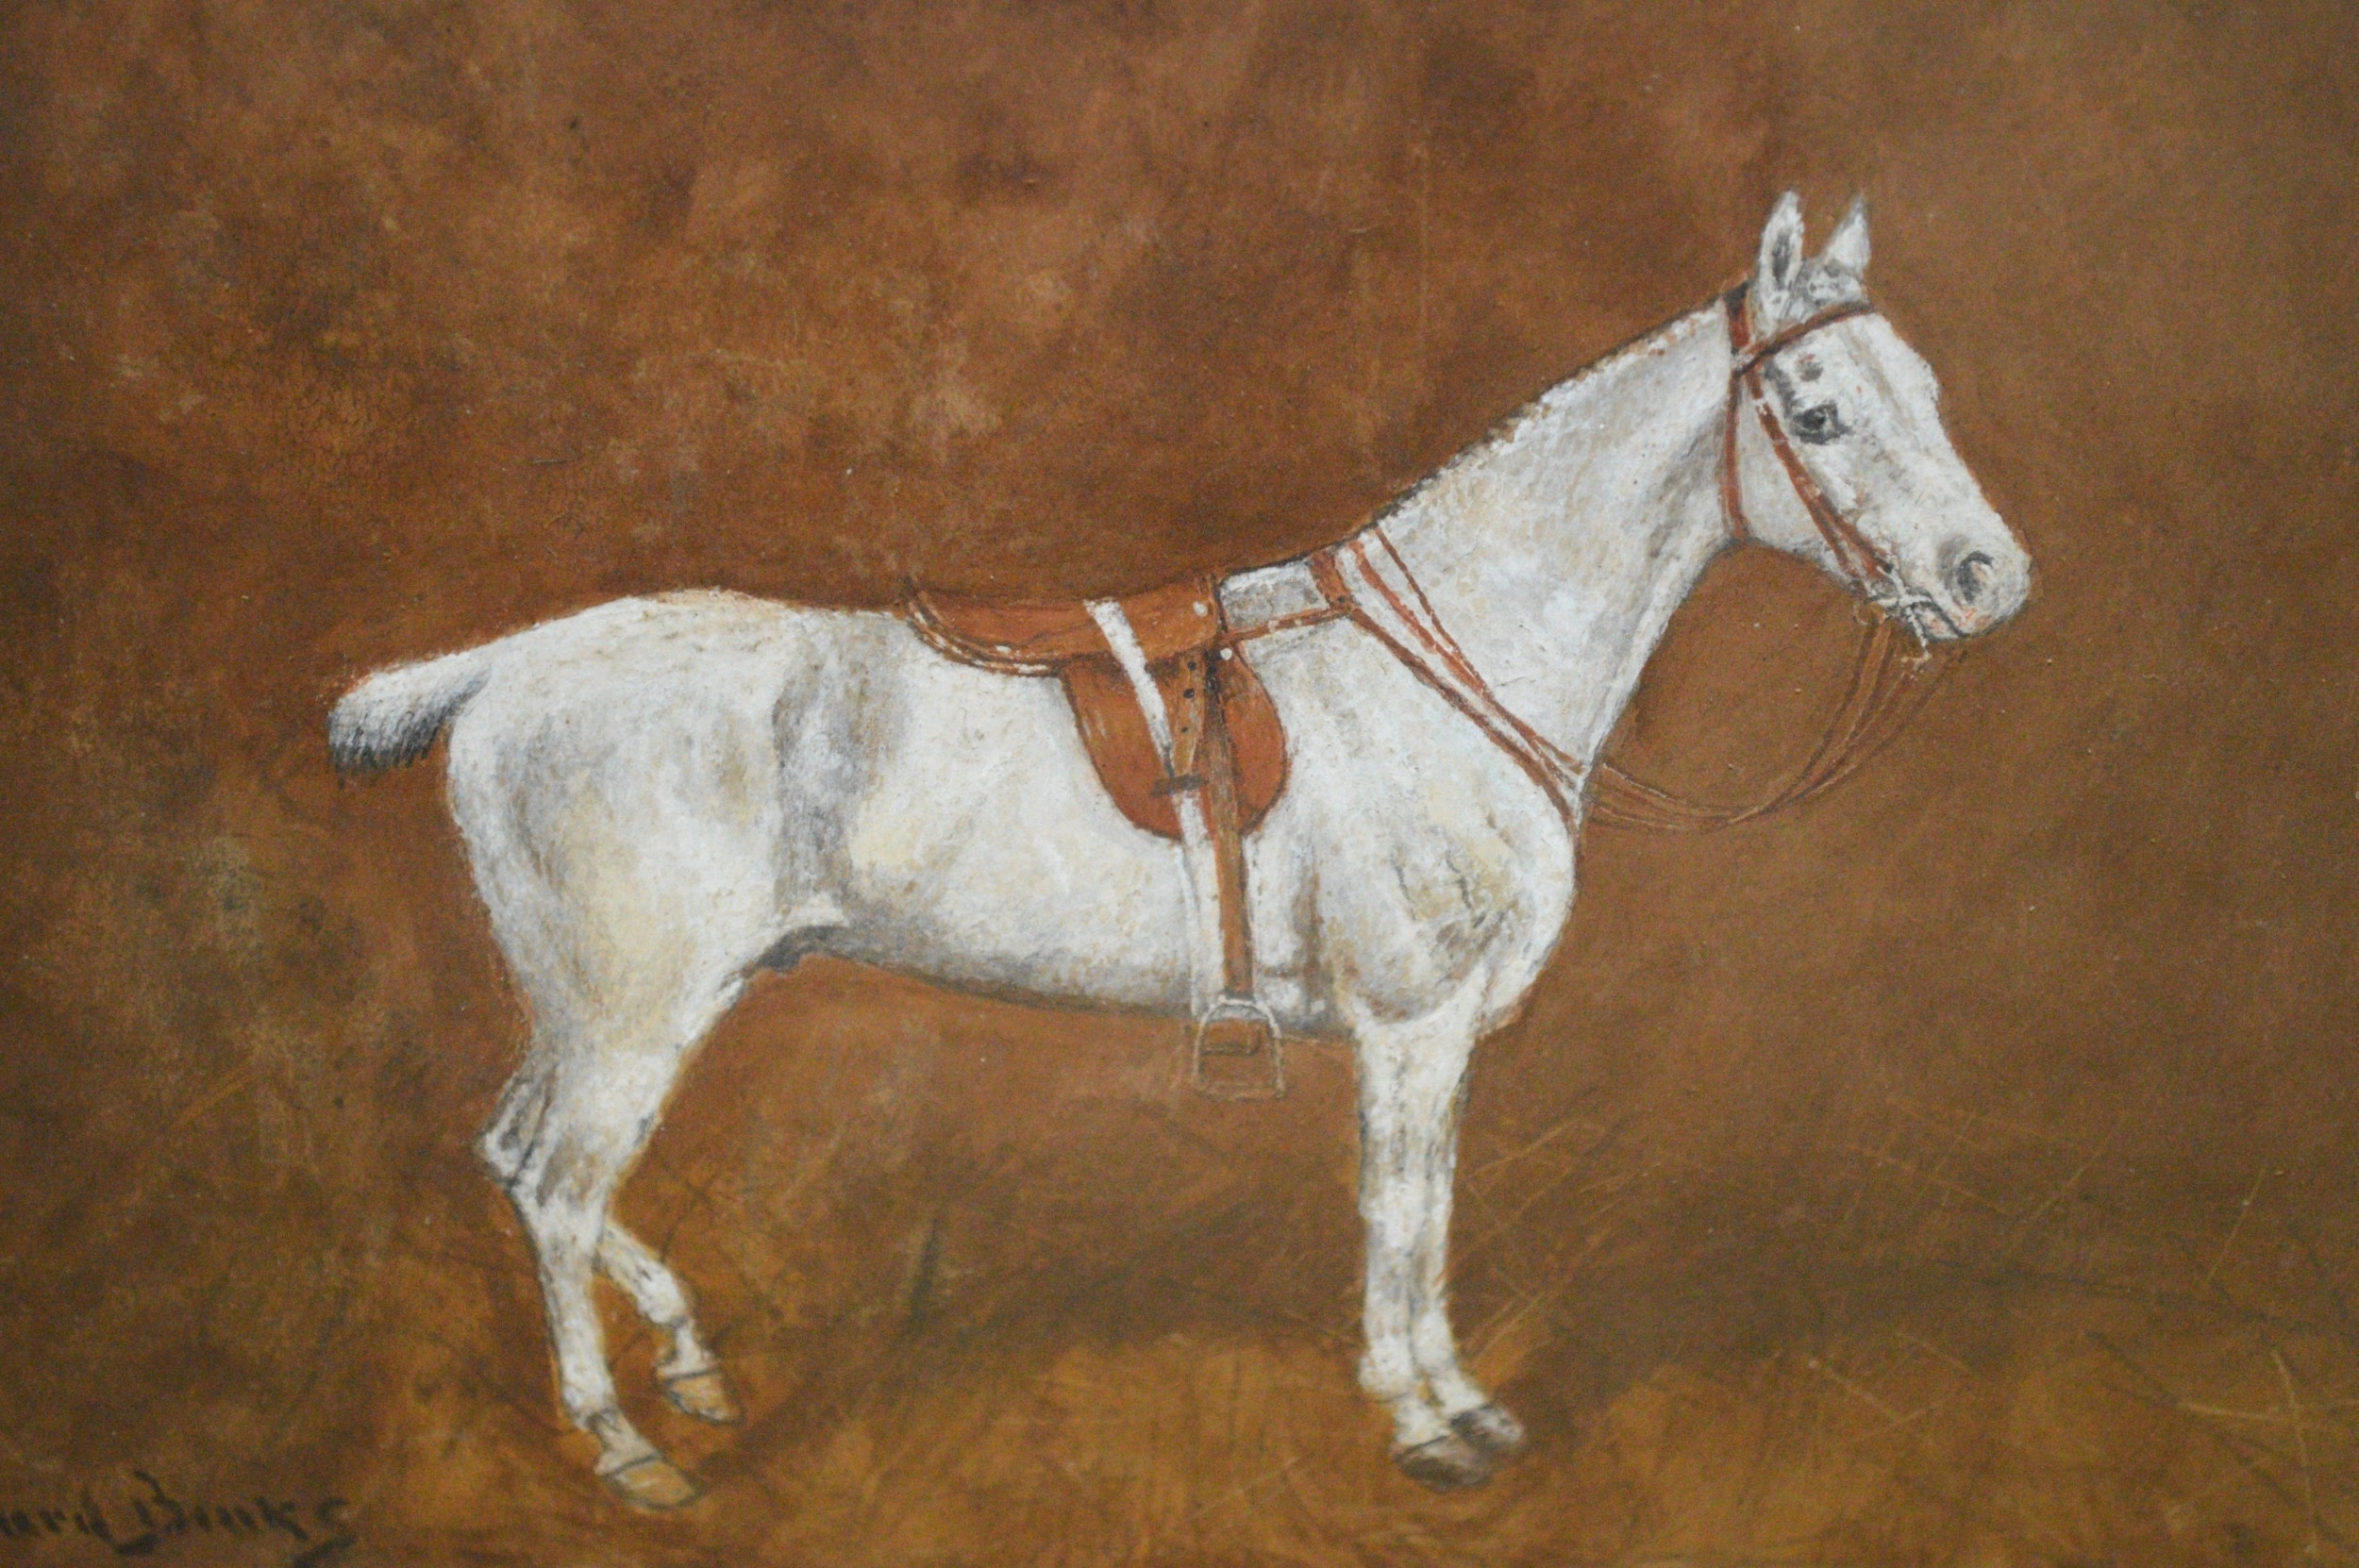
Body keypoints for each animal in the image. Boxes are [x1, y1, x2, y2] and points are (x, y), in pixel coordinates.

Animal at [327, 192, 2032, 1507]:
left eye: (1934, 386)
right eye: (1819, 412)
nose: (1988, 574)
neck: (1449, 665)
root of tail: (505, 668)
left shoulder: (1431, 1038)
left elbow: (1423, 1212)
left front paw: (1452, 1400)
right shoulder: (1411, 1027)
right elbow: (1403, 1218)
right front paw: (1426, 1416)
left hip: (597, 1008)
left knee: (516, 1157)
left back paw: (687, 1357)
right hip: (634, 1010)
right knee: (556, 1187)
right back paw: (624, 1444)